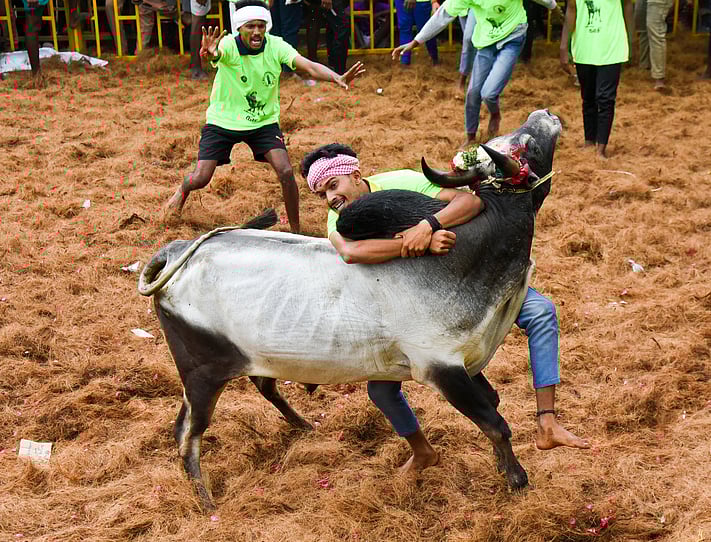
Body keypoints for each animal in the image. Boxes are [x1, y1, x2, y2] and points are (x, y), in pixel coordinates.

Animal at [138, 109, 562, 510]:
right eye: (528, 145)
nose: (545, 115)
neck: (464, 257)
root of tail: (178, 250)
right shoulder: (441, 368)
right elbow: (495, 423)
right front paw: (516, 478)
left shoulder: (467, 361)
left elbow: (494, 405)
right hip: (201, 374)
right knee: (187, 433)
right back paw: (205, 500)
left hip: (253, 356)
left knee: (264, 384)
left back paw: (303, 426)